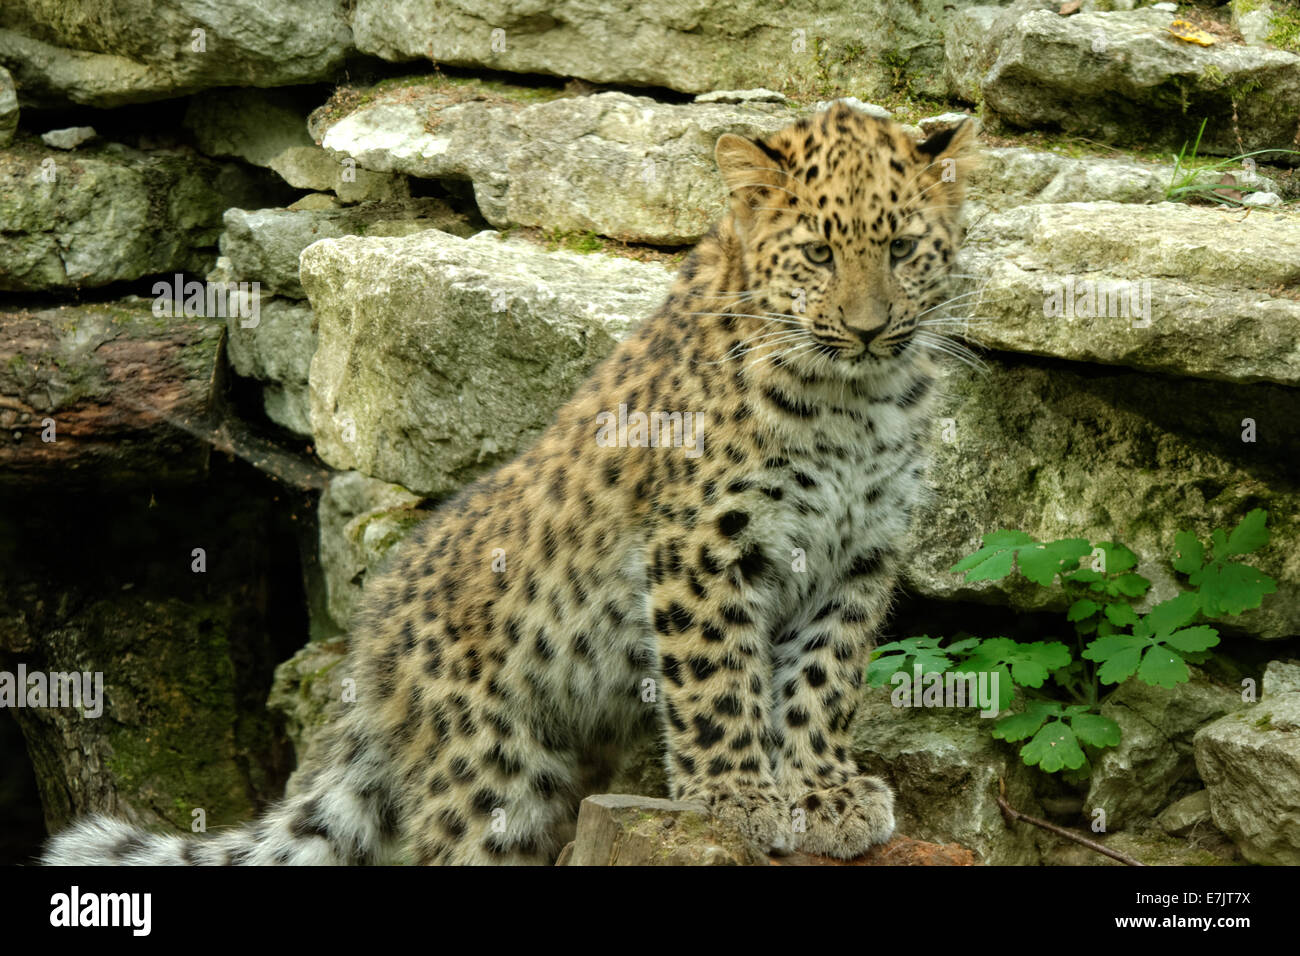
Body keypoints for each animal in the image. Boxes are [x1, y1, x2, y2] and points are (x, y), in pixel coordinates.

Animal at [43, 101, 977, 865]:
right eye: (818, 252)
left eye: (901, 248)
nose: (869, 329)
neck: (856, 400)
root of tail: (370, 642)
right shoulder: (702, 545)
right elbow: (719, 680)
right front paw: (737, 798)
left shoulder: (859, 555)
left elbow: (824, 680)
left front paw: (824, 794)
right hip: (493, 777)